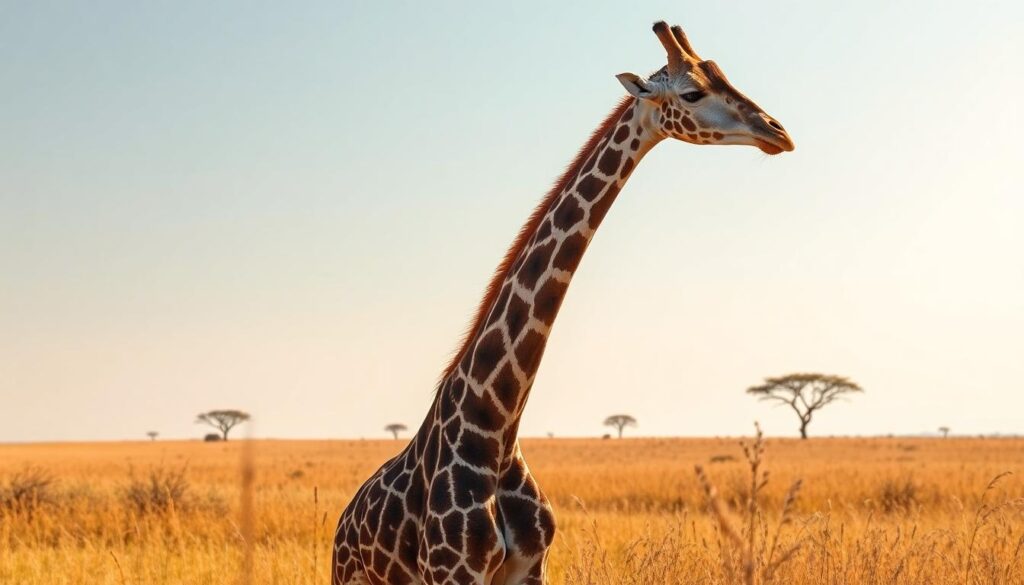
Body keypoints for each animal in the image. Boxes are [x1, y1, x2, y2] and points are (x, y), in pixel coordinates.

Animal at [332, 21, 794, 585]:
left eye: (724, 74)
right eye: (691, 93)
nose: (777, 132)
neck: (496, 428)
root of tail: (342, 524)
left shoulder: (532, 567)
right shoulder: (453, 571)